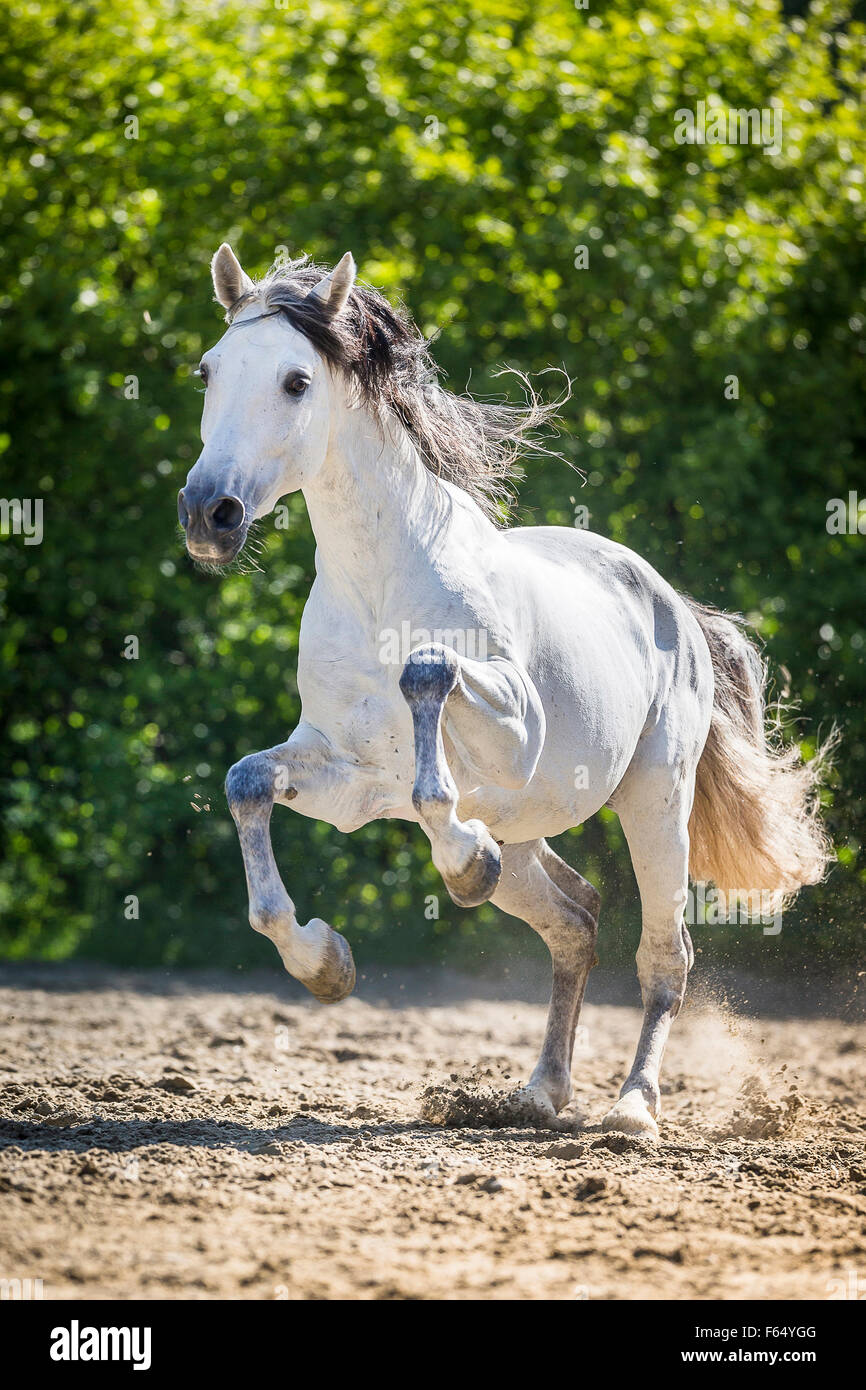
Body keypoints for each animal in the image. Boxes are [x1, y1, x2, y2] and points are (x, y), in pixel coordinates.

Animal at [177, 244, 832, 1137]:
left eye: (296, 381)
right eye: (207, 371)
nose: (208, 514)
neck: (378, 581)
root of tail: (673, 604)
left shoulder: (511, 733)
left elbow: (428, 680)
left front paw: (459, 863)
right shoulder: (345, 775)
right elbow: (249, 784)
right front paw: (325, 964)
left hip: (655, 798)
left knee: (666, 952)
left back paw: (632, 1109)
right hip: (529, 834)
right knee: (576, 919)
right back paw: (540, 1092)